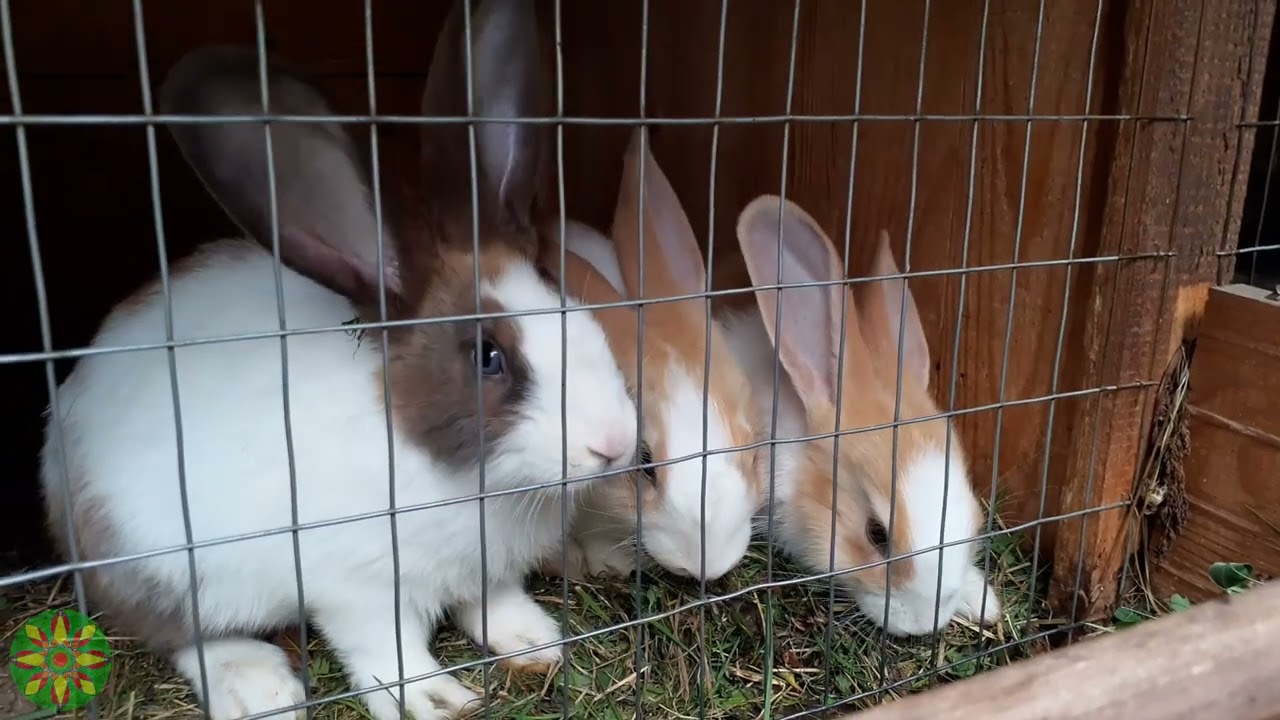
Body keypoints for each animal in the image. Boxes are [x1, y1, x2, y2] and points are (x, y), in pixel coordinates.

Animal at [36, 3, 640, 720]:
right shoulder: (360, 590)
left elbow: (493, 601)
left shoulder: (484, 572)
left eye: (562, 293)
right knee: (179, 633)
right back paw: (258, 685)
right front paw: (438, 700)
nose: (616, 441)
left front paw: (537, 643)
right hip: (164, 563)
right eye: (487, 356)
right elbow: (389, 651)